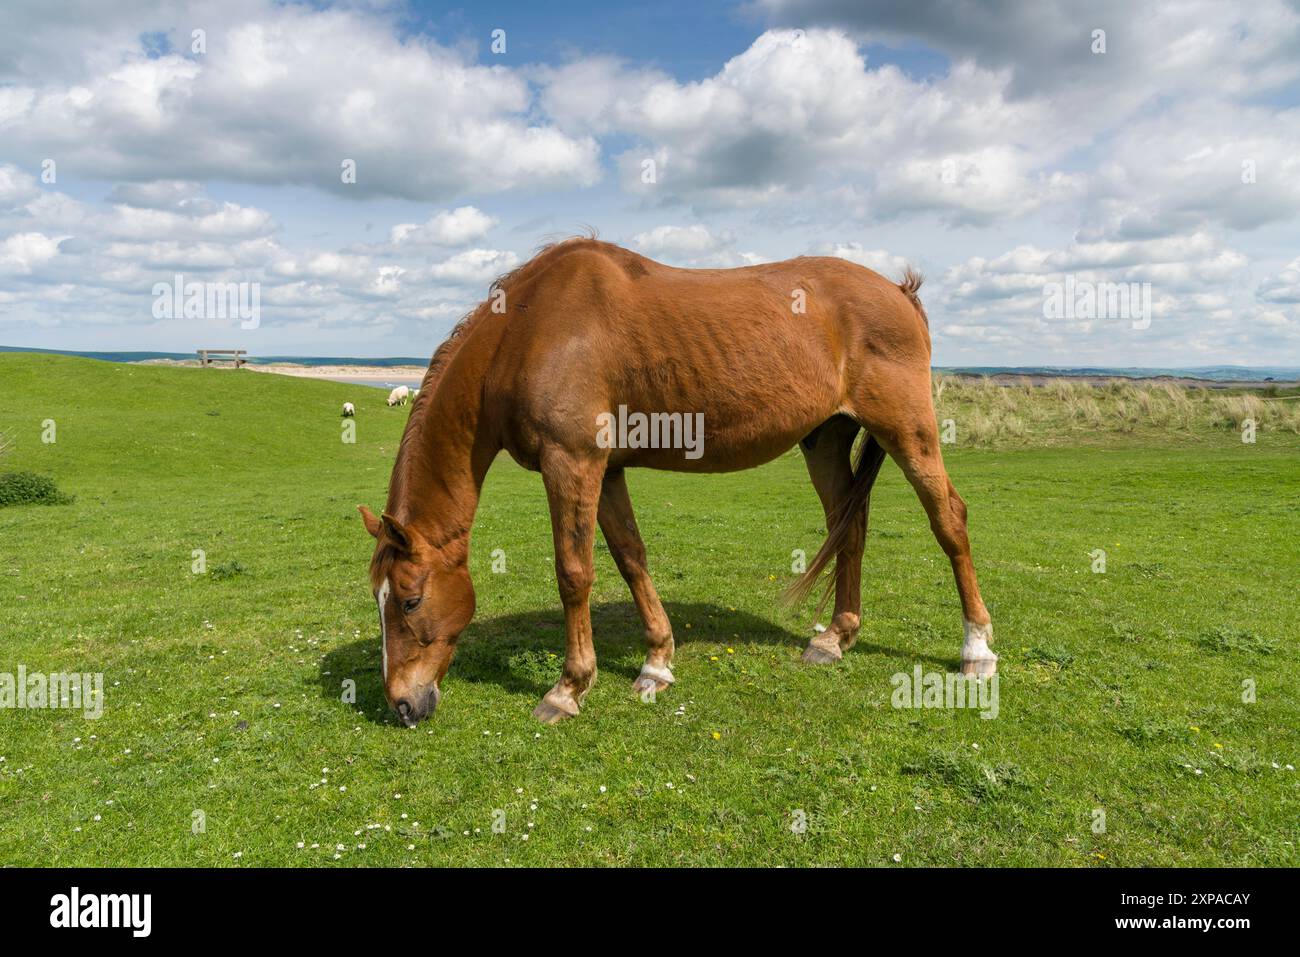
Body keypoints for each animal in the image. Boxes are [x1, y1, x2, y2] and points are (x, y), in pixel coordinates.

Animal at [358, 238, 994, 726]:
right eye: (379, 598)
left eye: (410, 599)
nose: (401, 705)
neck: (528, 328)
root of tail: (900, 292)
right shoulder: (607, 470)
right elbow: (630, 557)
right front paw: (656, 663)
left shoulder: (573, 463)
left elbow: (573, 573)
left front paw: (568, 688)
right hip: (827, 439)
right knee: (850, 528)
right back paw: (835, 637)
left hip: (908, 430)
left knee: (949, 520)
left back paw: (976, 648)